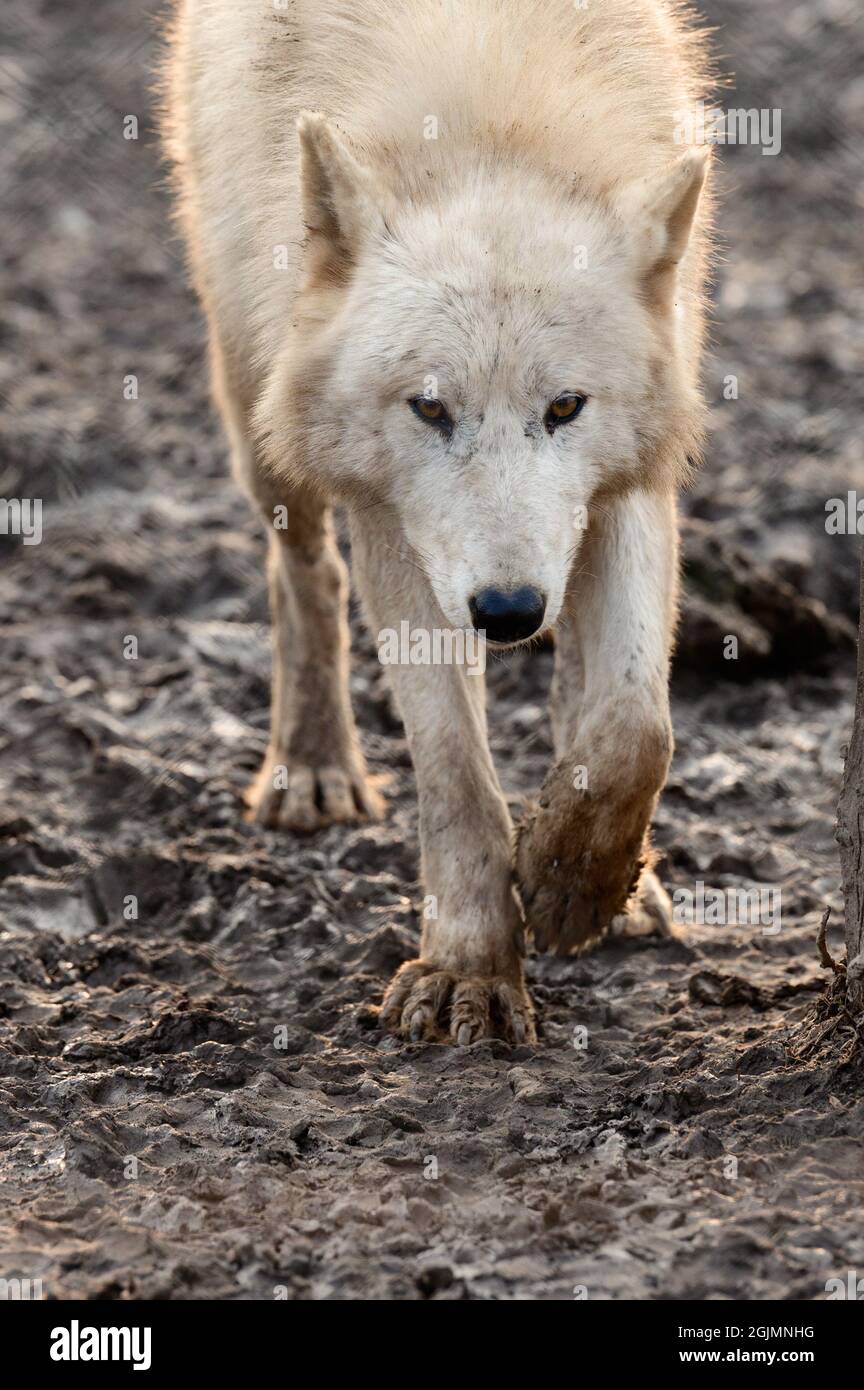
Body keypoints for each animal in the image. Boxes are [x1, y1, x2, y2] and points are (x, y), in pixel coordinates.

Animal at [163, 0, 714, 1044]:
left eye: (565, 407)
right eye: (428, 408)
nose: (506, 613)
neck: (493, 127)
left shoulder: (629, 479)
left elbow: (637, 725)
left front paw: (573, 882)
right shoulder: (392, 518)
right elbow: (455, 771)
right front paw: (471, 969)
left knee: (585, 685)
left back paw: (623, 881)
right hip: (257, 409)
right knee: (302, 574)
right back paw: (313, 767)